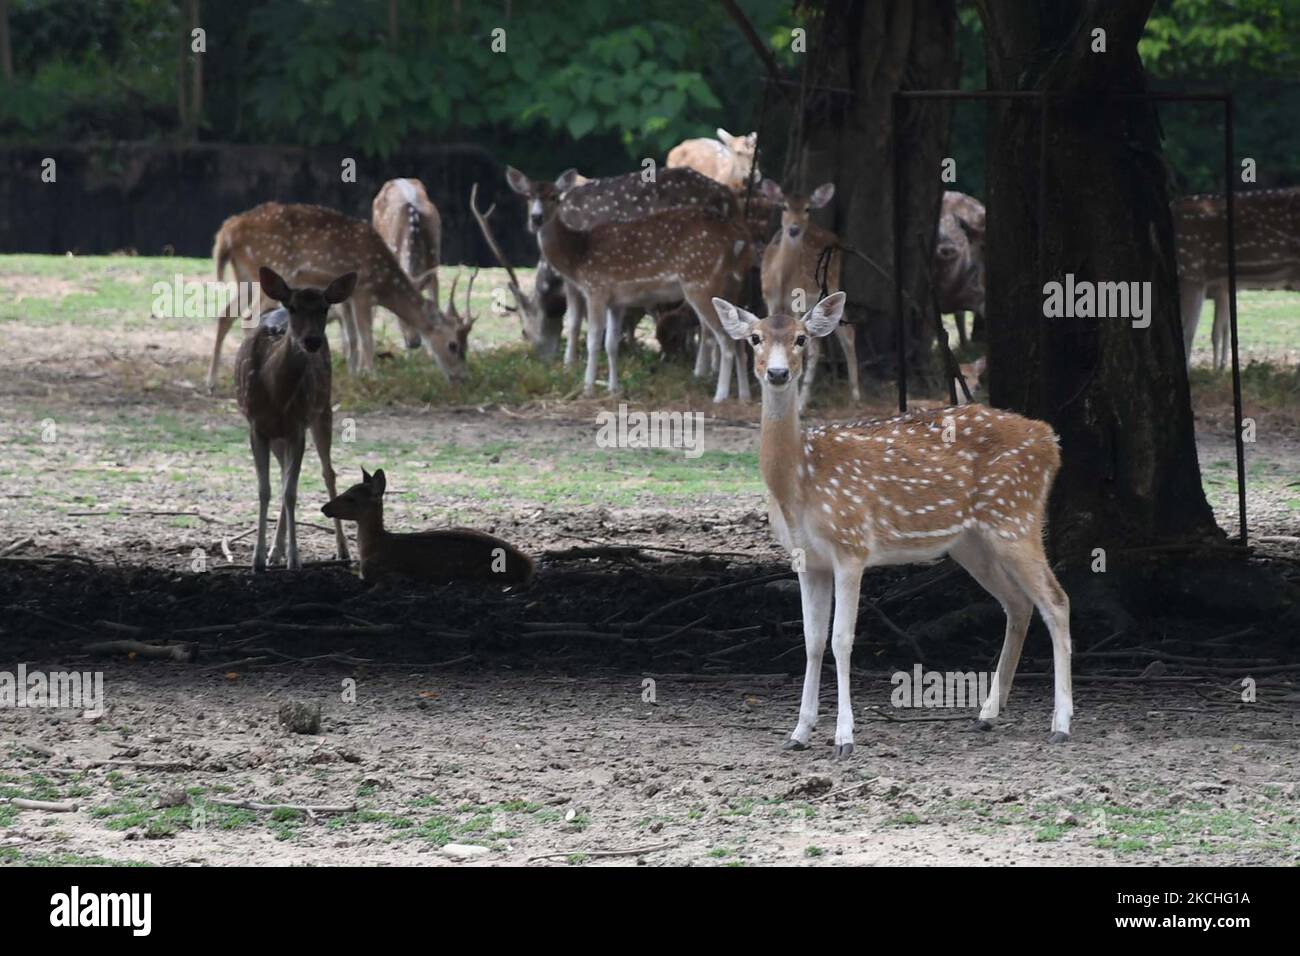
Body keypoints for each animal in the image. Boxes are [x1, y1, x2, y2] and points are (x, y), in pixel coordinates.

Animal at [206, 203, 468, 390]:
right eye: (453, 345)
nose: (460, 377)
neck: (383, 280)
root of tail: (227, 232)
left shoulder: (348, 298)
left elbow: (351, 338)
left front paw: (353, 375)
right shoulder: (363, 291)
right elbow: (366, 338)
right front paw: (372, 376)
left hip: (245, 276)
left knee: (226, 314)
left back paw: (212, 382)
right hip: (272, 271)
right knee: (249, 318)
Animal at [236, 267, 355, 572]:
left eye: (325, 308)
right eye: (293, 307)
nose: (312, 341)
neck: (275, 394)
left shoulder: (298, 426)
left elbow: (291, 491)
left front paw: (295, 559)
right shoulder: (256, 427)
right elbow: (265, 489)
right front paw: (258, 559)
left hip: (322, 409)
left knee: (327, 473)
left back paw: (343, 549)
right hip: (280, 435)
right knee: (282, 475)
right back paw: (274, 552)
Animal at [504, 166, 755, 401]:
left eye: (554, 196)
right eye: (528, 196)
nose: (536, 219)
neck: (577, 255)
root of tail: (738, 237)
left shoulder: (595, 288)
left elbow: (590, 336)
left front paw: (585, 386)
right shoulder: (617, 302)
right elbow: (611, 343)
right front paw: (613, 389)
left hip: (701, 282)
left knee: (724, 338)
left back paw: (718, 393)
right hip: (733, 286)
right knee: (739, 340)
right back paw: (743, 395)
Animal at [713, 290, 1074, 757]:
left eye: (801, 338)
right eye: (755, 338)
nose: (777, 373)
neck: (800, 481)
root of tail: (1050, 440)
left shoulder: (851, 545)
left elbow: (841, 640)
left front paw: (844, 738)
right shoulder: (807, 560)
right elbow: (811, 641)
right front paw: (798, 733)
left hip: (1016, 515)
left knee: (1057, 601)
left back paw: (1061, 724)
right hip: (972, 541)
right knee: (1018, 603)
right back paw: (987, 714)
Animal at [759, 180, 860, 410]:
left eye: (807, 208)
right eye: (784, 206)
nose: (794, 229)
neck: (782, 282)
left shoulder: (798, 303)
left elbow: (799, 347)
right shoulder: (770, 299)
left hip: (830, 286)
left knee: (843, 335)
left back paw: (854, 395)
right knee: (820, 344)